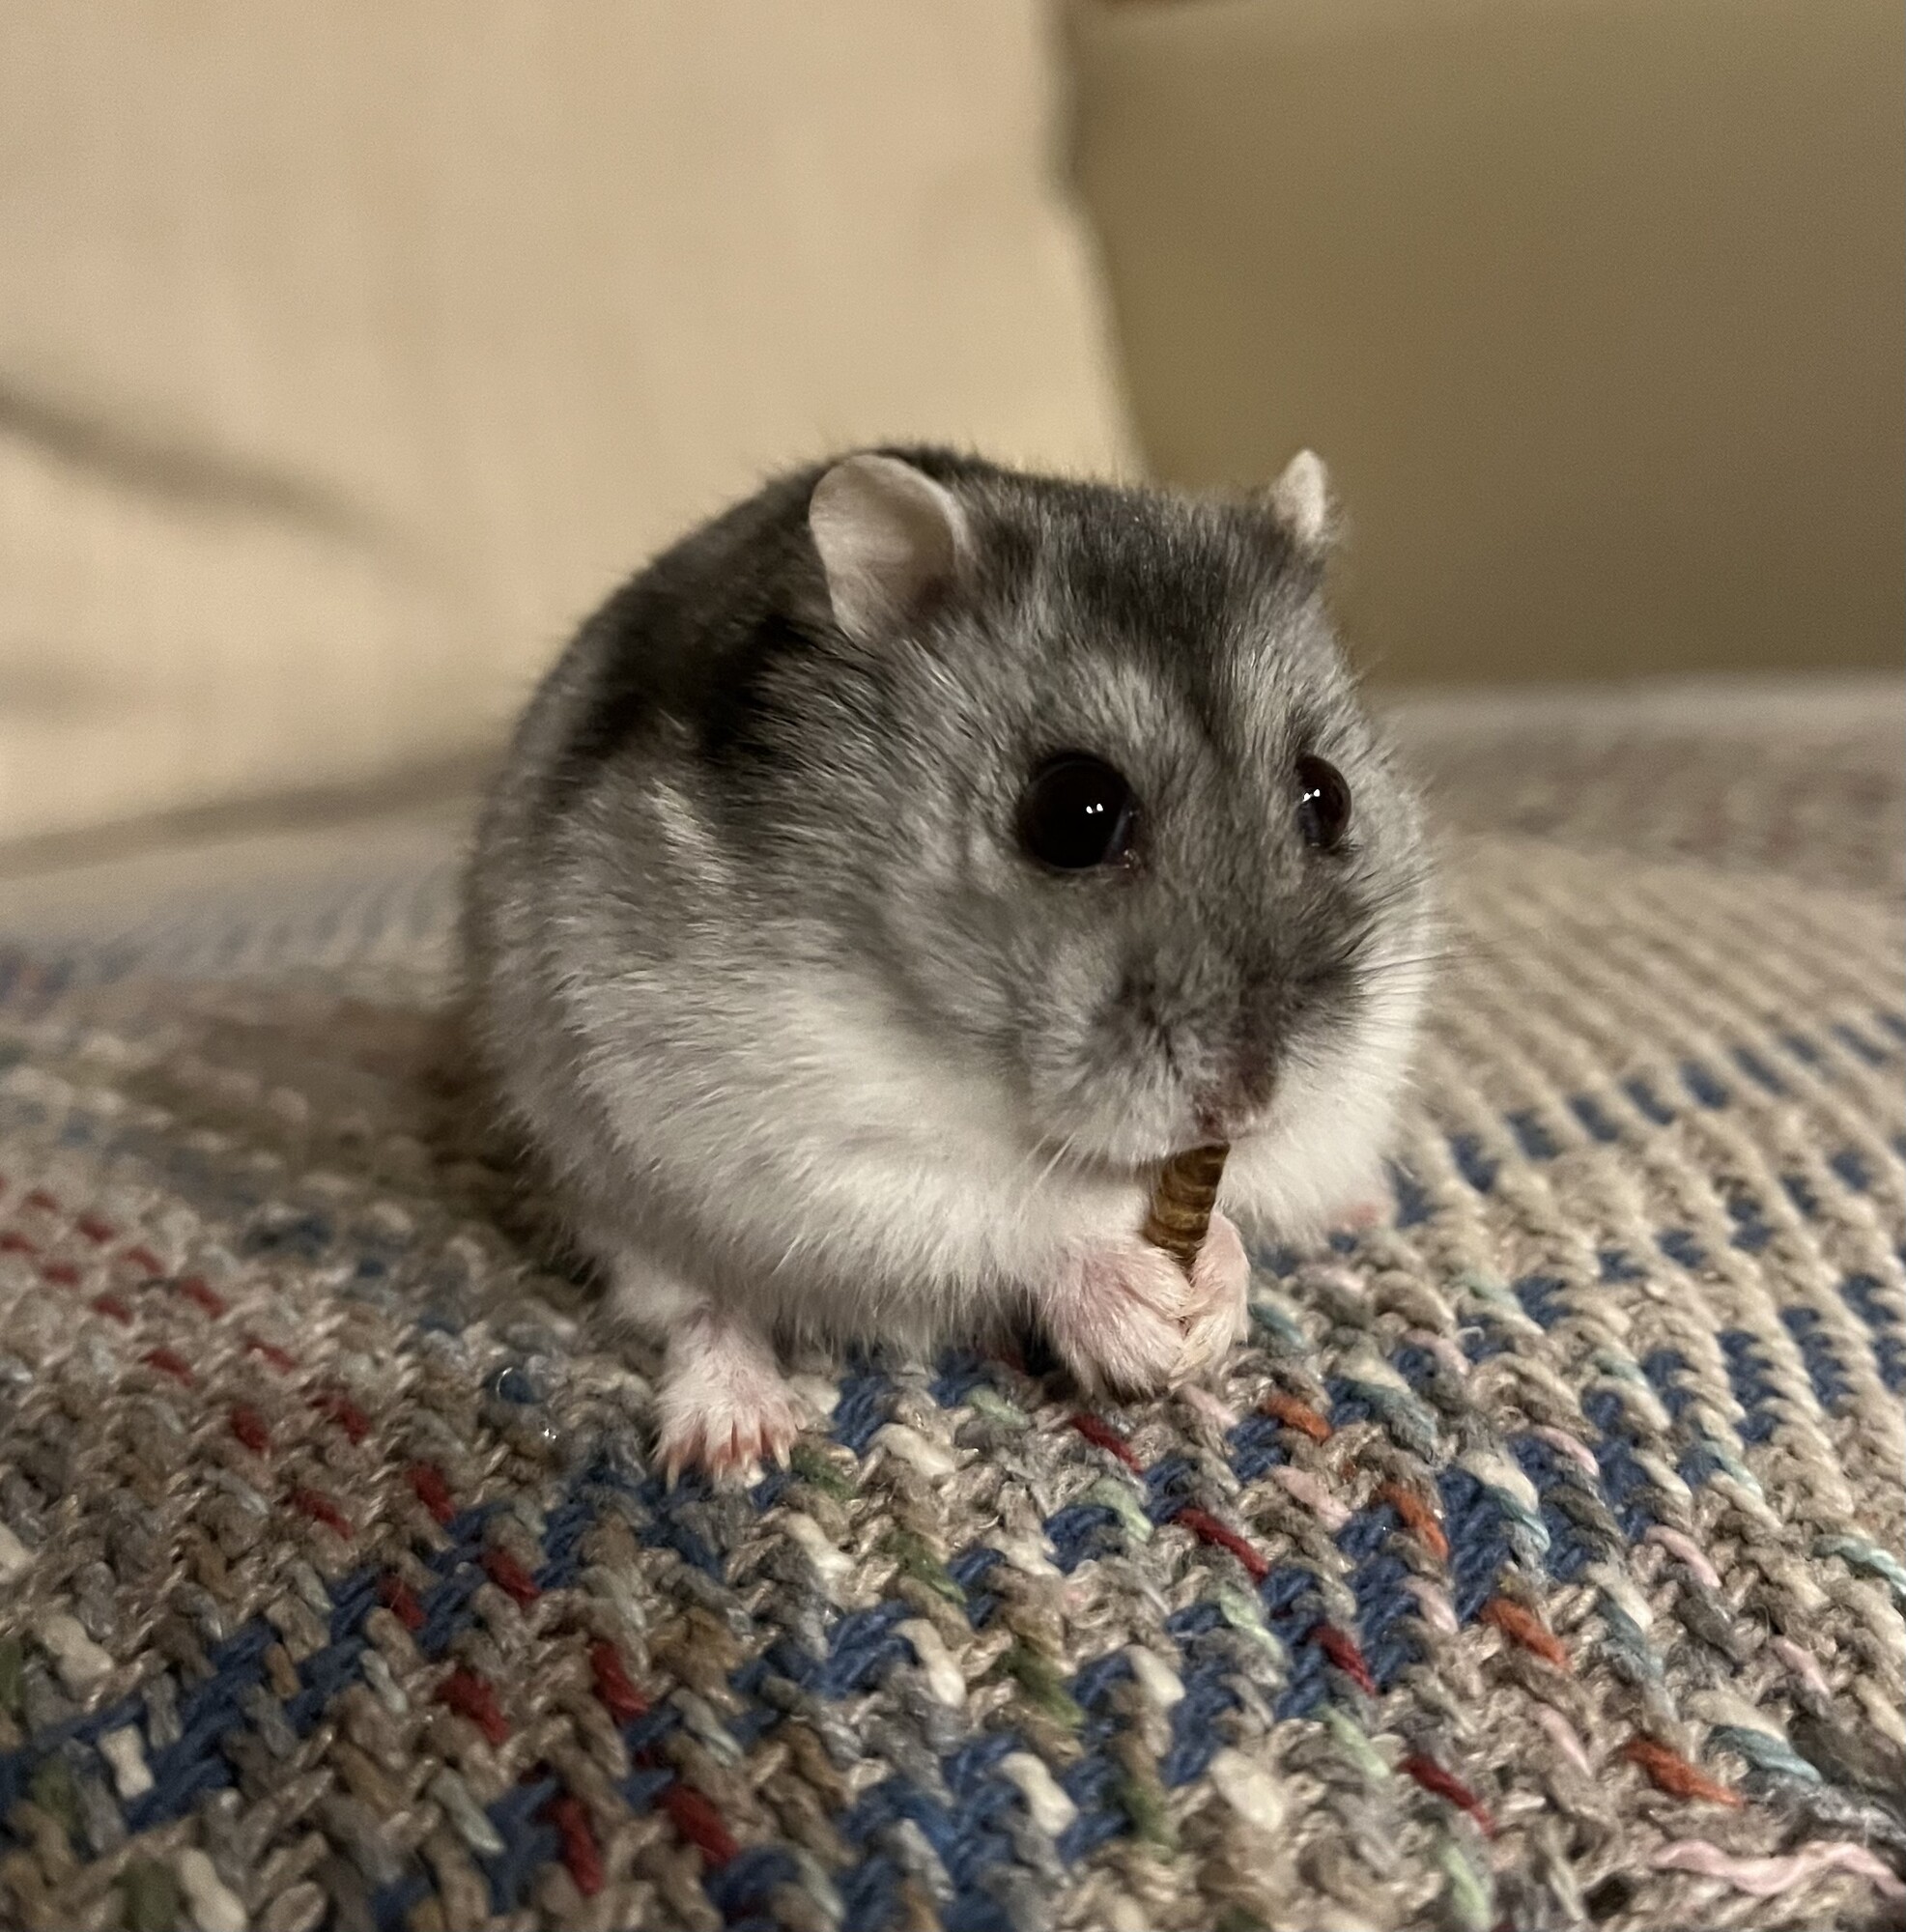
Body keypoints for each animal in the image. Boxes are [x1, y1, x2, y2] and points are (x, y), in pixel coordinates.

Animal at [465, 447, 1433, 1476]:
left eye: (1326, 796)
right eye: (1073, 813)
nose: (1248, 1106)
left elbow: (1246, 1197)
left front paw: (1209, 1298)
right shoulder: (805, 1137)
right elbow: (1011, 1212)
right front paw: (1141, 1324)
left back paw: (1364, 1209)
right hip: (616, 1199)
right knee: (697, 1311)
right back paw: (735, 1447)